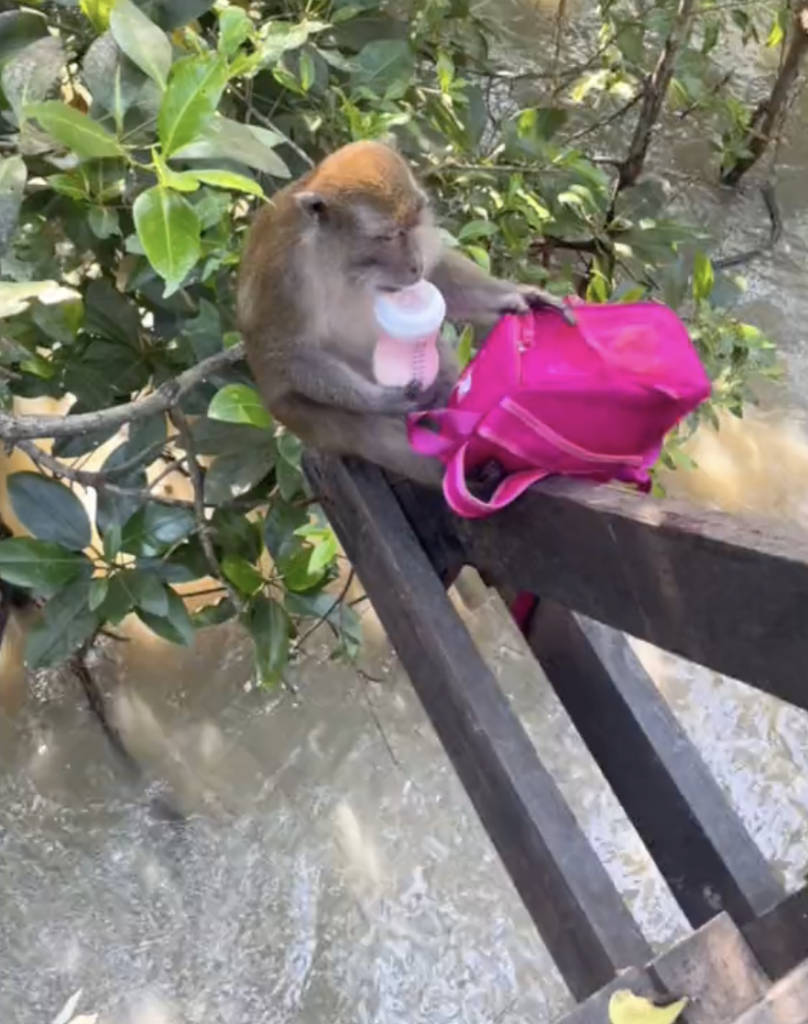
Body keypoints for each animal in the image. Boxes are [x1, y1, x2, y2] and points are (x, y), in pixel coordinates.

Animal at [237, 139, 571, 487]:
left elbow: (437, 276)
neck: (341, 259)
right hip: (293, 414)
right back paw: (457, 470)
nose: (414, 263)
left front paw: (517, 295)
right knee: (362, 429)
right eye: (387, 235)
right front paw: (382, 400)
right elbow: (287, 352)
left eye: (412, 224)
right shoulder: (284, 275)